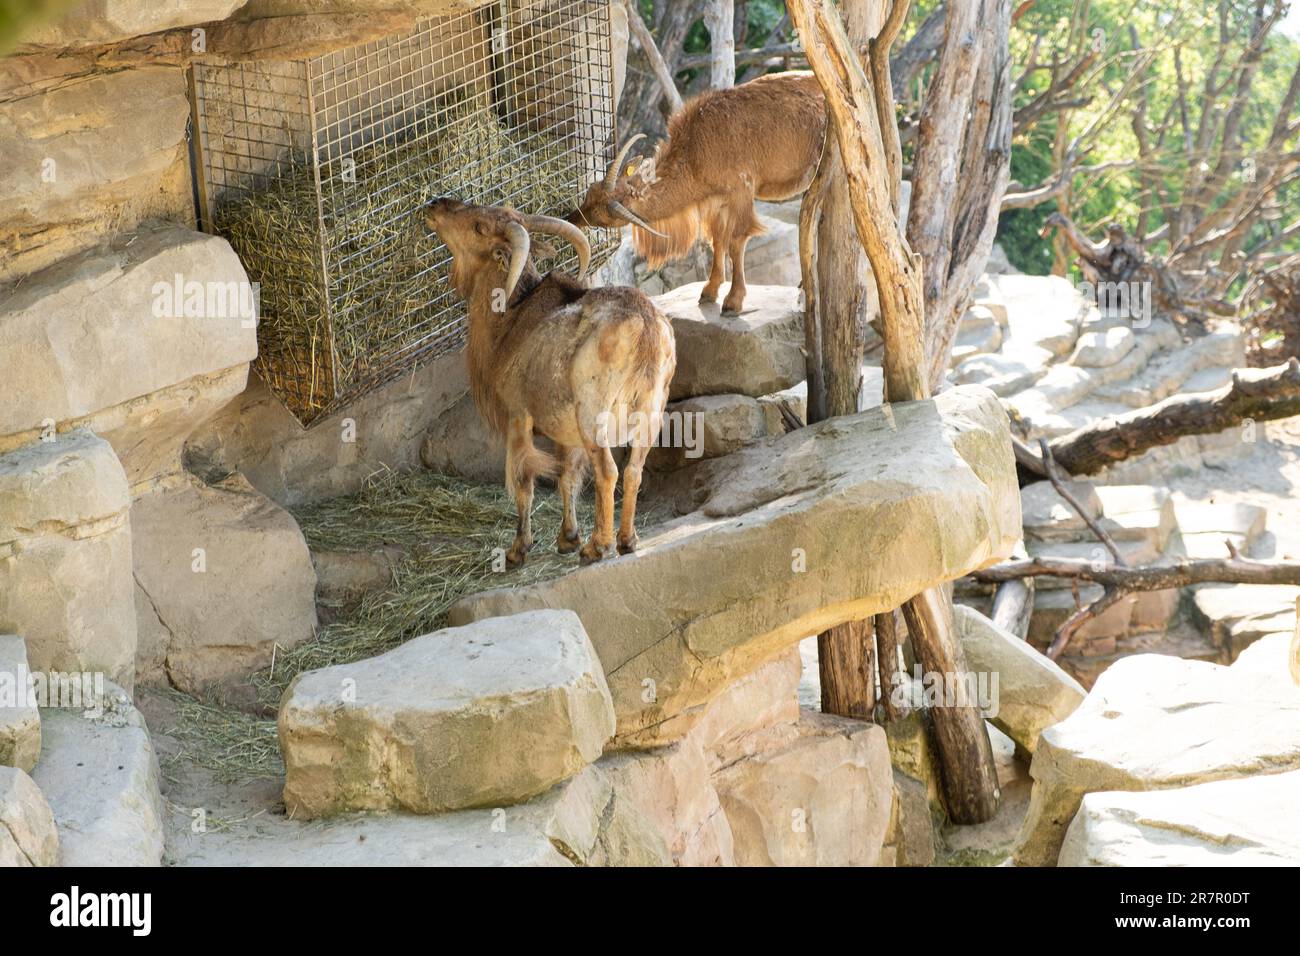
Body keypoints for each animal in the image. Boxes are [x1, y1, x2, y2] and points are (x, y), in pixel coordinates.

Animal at [424, 198, 676, 567]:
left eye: (479, 227)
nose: (434, 204)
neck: (511, 318)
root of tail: (645, 328)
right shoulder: (565, 430)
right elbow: (566, 475)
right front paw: (567, 538)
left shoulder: (518, 413)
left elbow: (524, 480)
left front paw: (518, 549)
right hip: (650, 412)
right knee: (633, 470)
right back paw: (627, 540)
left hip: (594, 416)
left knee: (608, 471)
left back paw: (598, 546)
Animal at [566, 70, 827, 315]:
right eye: (590, 194)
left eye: (605, 217)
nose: (571, 218)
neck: (696, 150)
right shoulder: (718, 200)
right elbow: (718, 240)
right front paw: (709, 291)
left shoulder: (741, 190)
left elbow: (736, 241)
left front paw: (733, 301)